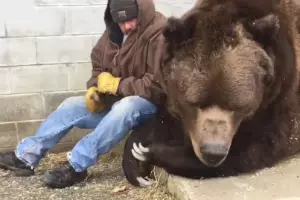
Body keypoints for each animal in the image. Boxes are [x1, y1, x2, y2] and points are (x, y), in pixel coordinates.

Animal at [122, 0, 300, 188]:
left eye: (238, 106)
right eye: (194, 103)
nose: (213, 152)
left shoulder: (281, 99)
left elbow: (254, 147)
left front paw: (151, 152)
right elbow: (166, 118)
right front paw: (135, 153)